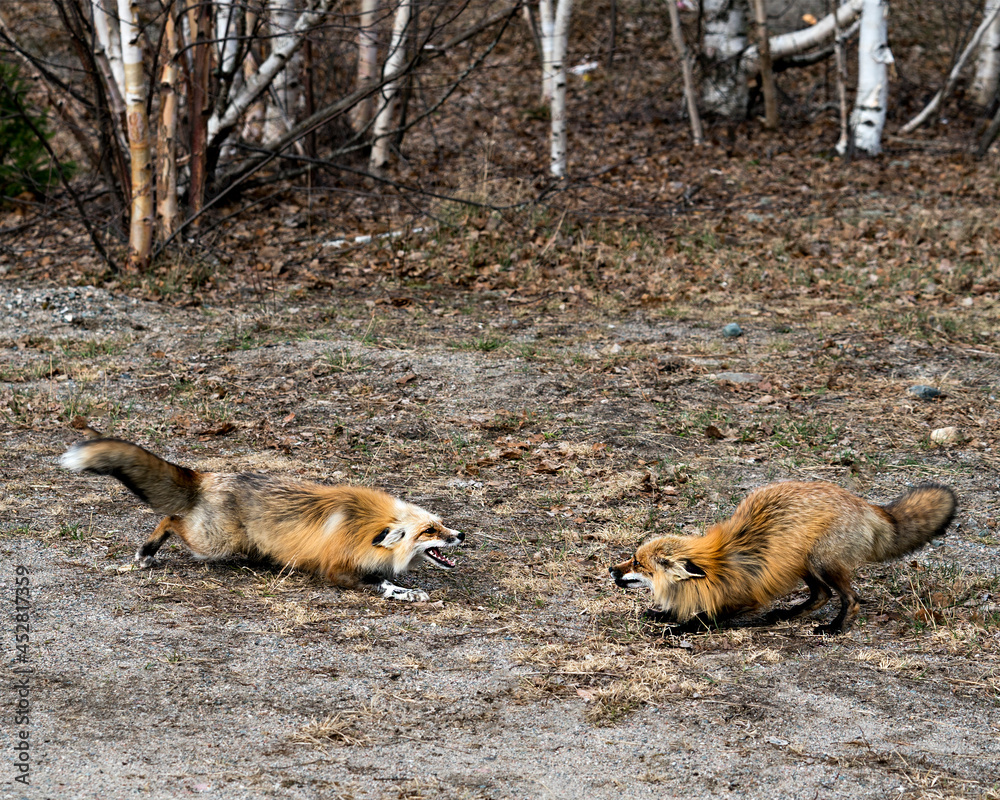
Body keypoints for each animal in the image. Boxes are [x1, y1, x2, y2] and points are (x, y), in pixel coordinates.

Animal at [60, 437, 464, 602]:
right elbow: (381, 584)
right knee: (171, 518)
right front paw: (408, 594)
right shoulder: (336, 571)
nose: (461, 535)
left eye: (441, 524)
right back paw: (147, 552)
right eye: (429, 531)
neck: (363, 526)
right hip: (214, 543)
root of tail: (209, 476)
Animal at [609, 480, 956, 634]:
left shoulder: (743, 598)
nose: (611, 569)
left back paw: (833, 628)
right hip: (801, 564)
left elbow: (708, 618)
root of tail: (866, 504)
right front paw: (663, 614)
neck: (717, 565)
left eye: (637, 563)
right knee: (821, 595)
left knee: (850, 598)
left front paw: (679, 628)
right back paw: (786, 615)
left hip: (820, 561)